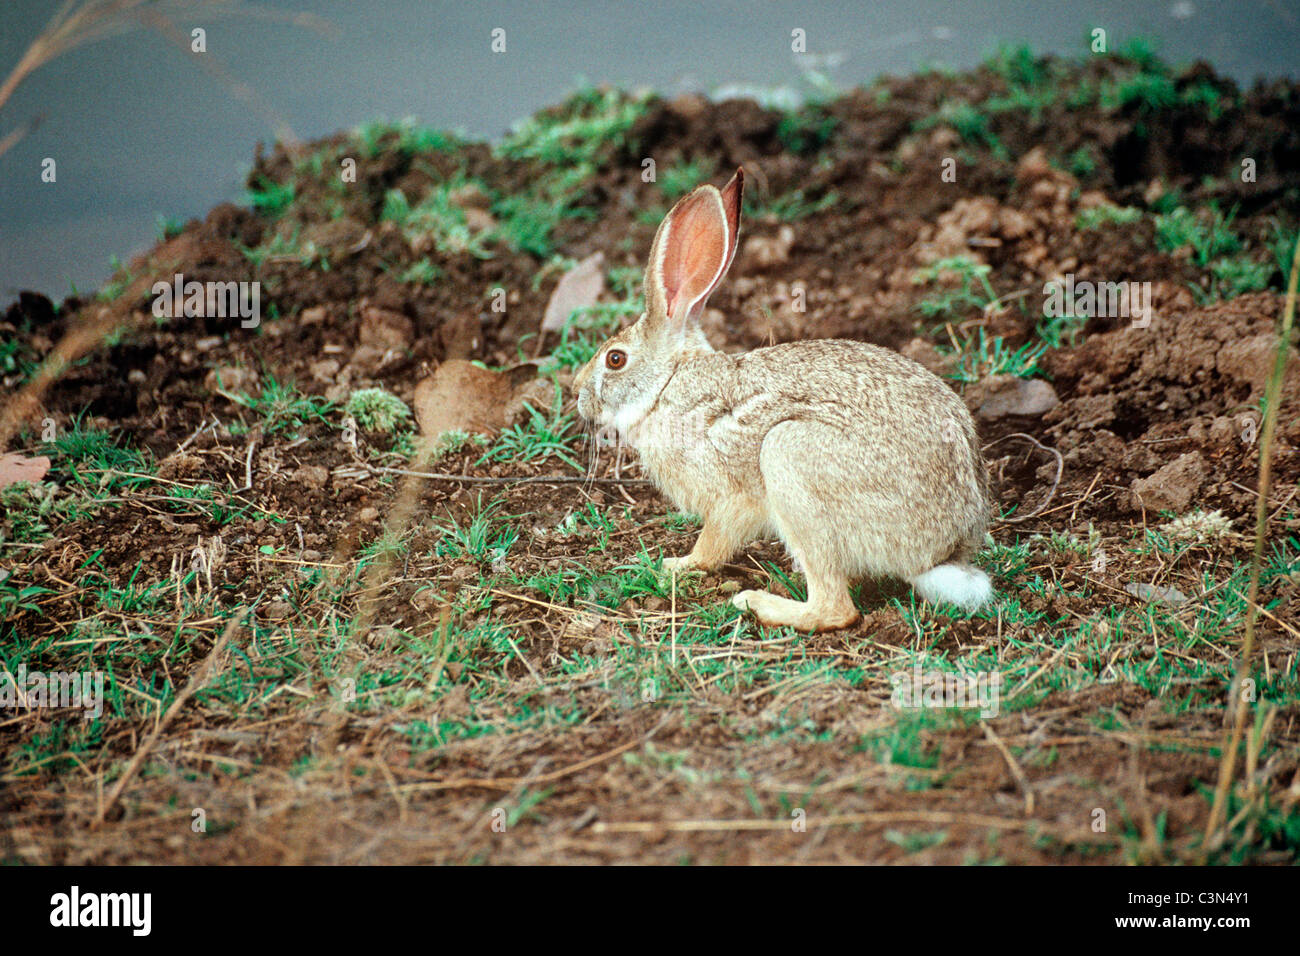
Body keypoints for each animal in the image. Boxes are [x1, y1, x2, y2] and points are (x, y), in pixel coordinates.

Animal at [573, 168, 992, 631]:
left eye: (614, 359)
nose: (577, 392)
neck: (666, 384)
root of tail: (940, 550)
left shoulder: (729, 497)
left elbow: (714, 541)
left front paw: (678, 565)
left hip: (789, 457)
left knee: (835, 607)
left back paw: (759, 603)